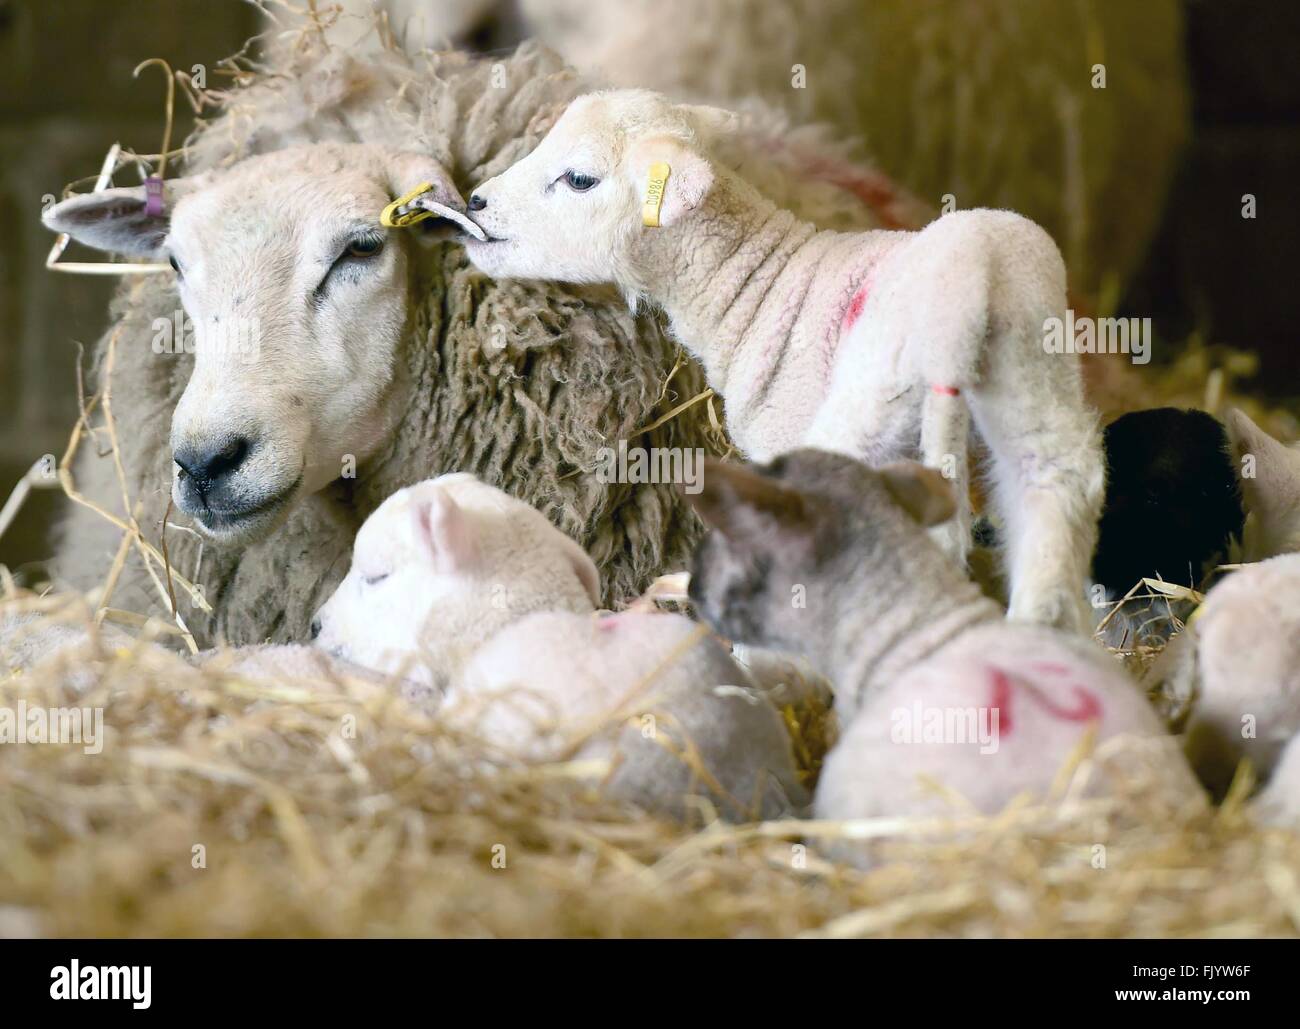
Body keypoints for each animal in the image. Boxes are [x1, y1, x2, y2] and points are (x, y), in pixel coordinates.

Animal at [465, 90, 1105, 632]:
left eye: (579, 179)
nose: (475, 201)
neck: (754, 282)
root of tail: (970, 282)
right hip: (1033, 375)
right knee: (1055, 487)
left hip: (868, 411)